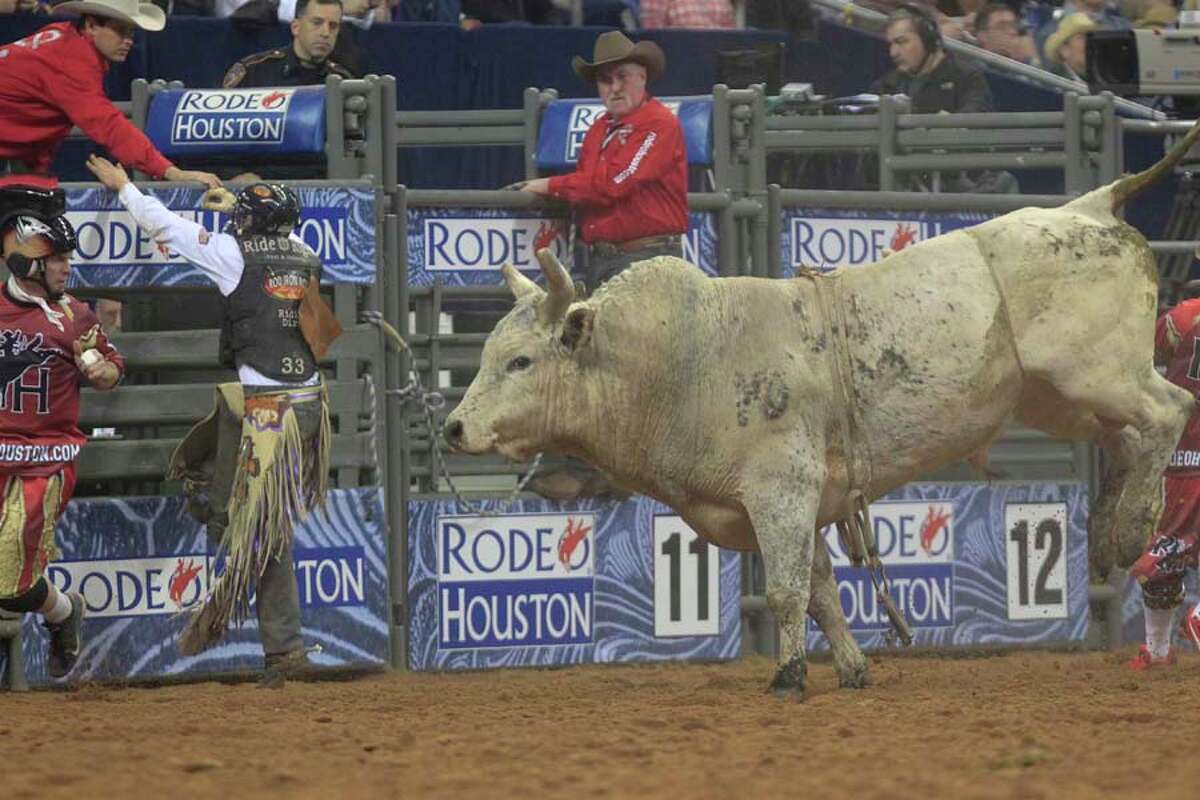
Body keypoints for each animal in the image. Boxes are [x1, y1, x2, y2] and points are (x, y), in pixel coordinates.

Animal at [444, 121, 1200, 697]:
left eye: (521, 361)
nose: (453, 427)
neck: (682, 358)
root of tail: (1093, 205)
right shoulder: (795, 502)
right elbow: (820, 589)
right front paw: (852, 667)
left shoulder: (781, 487)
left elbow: (784, 591)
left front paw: (788, 676)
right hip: (1056, 398)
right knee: (1129, 441)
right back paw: (1111, 532)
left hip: (1096, 372)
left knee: (1169, 409)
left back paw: (1134, 525)